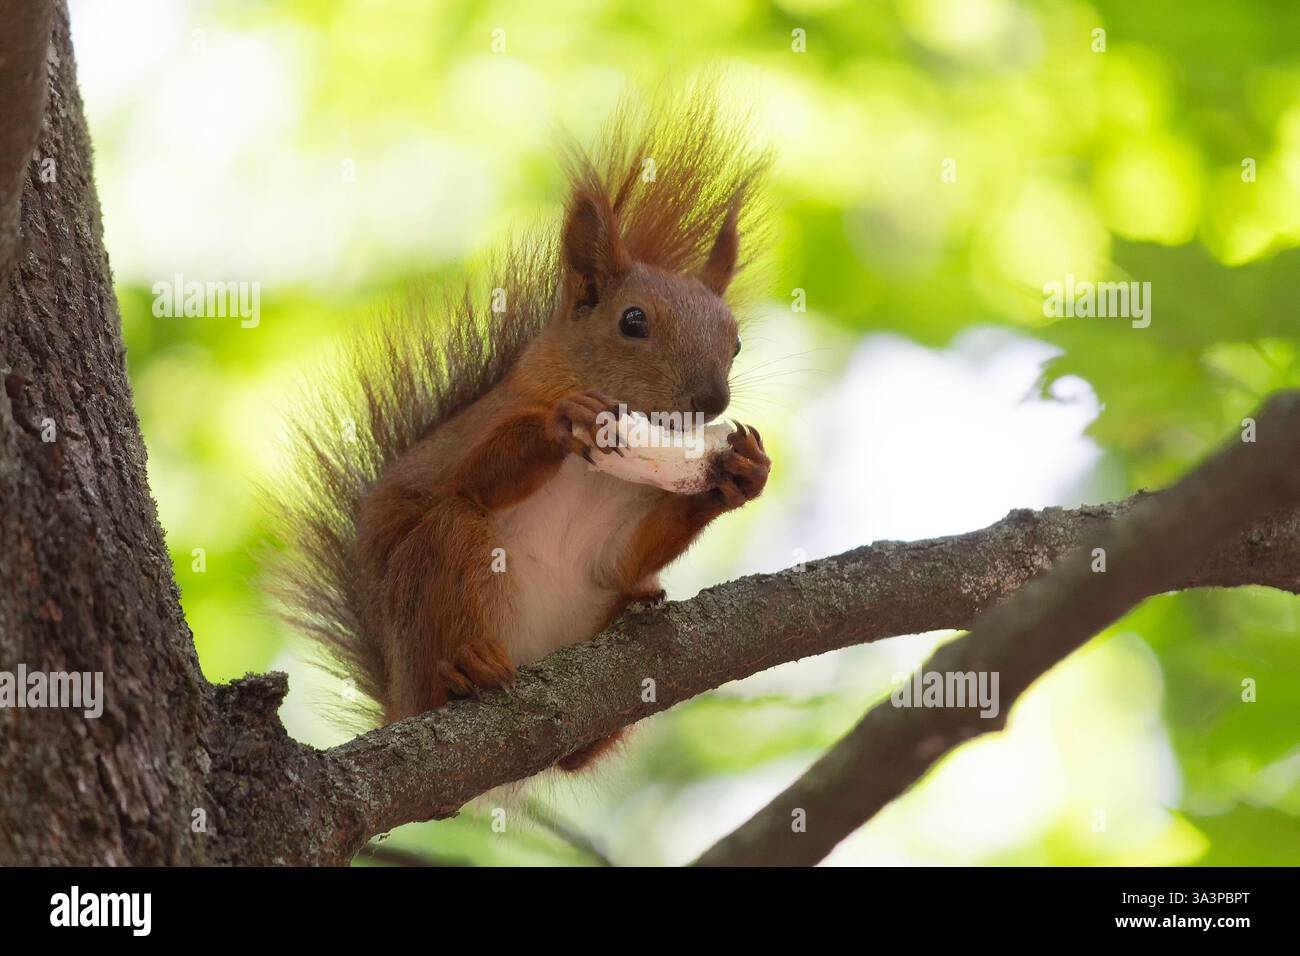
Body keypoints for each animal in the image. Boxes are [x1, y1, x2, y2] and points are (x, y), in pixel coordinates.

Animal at [272, 92, 771, 771]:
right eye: (632, 321)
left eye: (736, 342)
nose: (711, 399)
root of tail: (398, 698)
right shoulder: (480, 436)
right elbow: (476, 476)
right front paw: (559, 424)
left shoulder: (619, 531)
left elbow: (623, 558)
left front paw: (744, 472)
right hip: (441, 571)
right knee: (454, 531)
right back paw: (468, 670)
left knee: (577, 748)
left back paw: (632, 611)